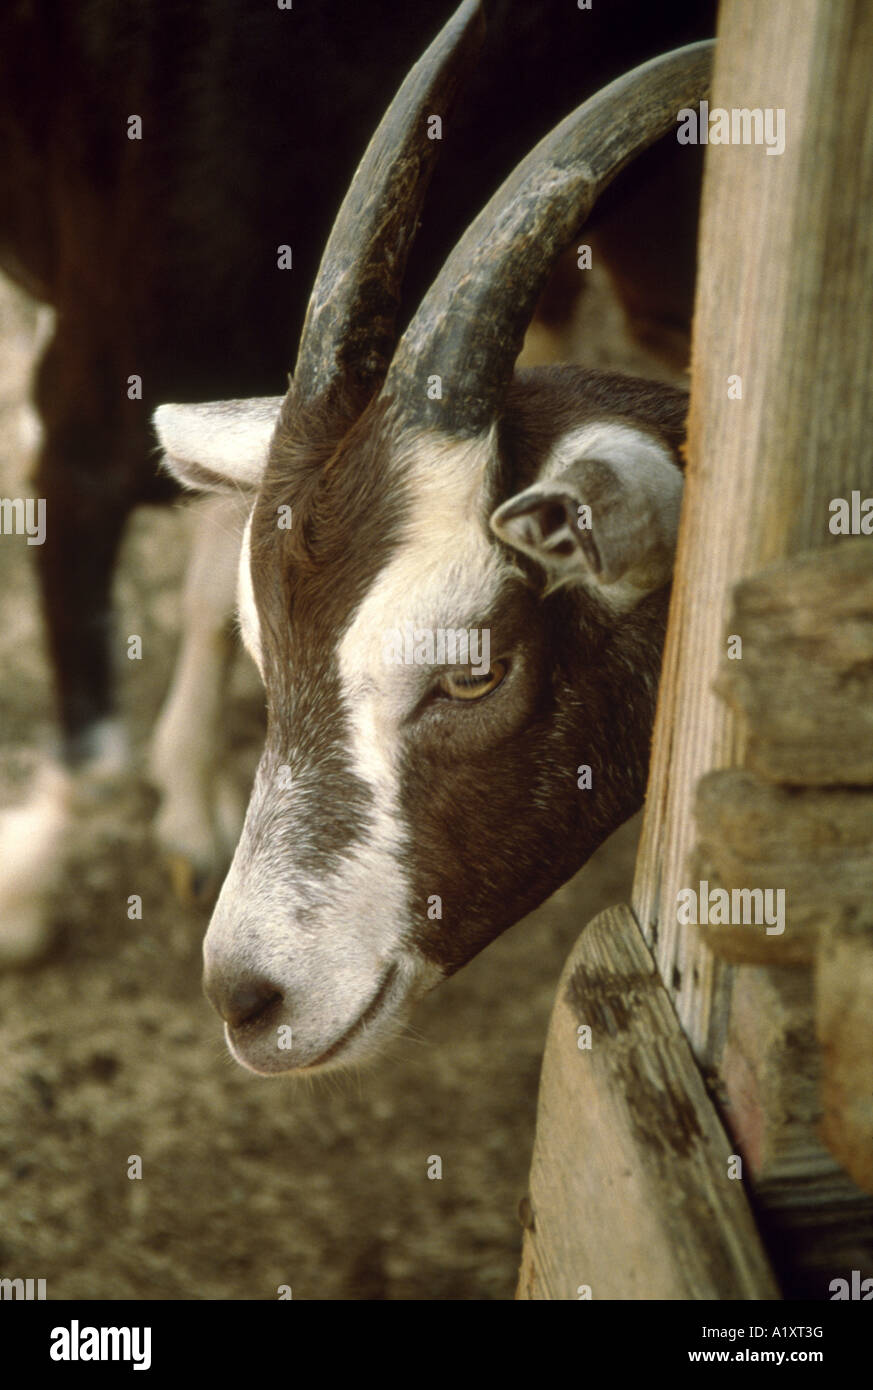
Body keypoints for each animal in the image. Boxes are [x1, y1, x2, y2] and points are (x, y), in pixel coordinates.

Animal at [0, 0, 713, 962]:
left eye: (468, 677)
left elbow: (214, 583)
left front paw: (186, 795)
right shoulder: (86, 420)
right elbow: (101, 756)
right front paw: (23, 895)